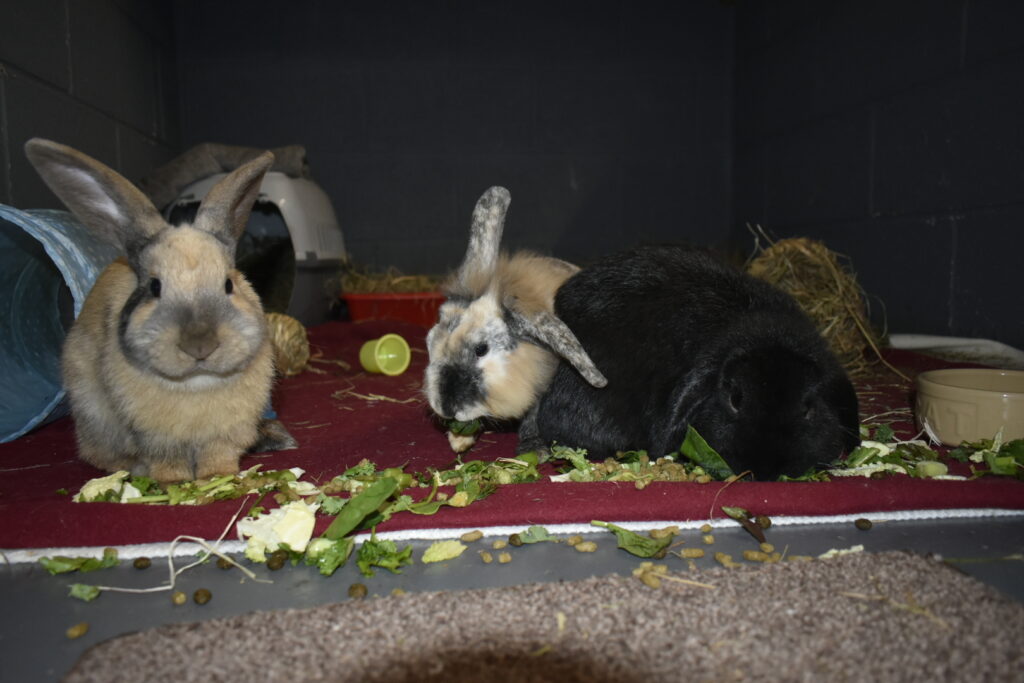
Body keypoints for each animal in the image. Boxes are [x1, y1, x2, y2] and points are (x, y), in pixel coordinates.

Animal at [25, 138, 297, 483]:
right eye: (155, 287)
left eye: (228, 284)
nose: (200, 345)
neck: (196, 383)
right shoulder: (156, 438)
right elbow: (168, 462)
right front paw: (174, 483)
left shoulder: (224, 434)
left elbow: (217, 456)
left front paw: (217, 478)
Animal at [424, 186, 608, 453]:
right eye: (430, 341)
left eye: (481, 350)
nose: (445, 407)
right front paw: (458, 441)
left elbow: (534, 416)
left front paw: (532, 449)